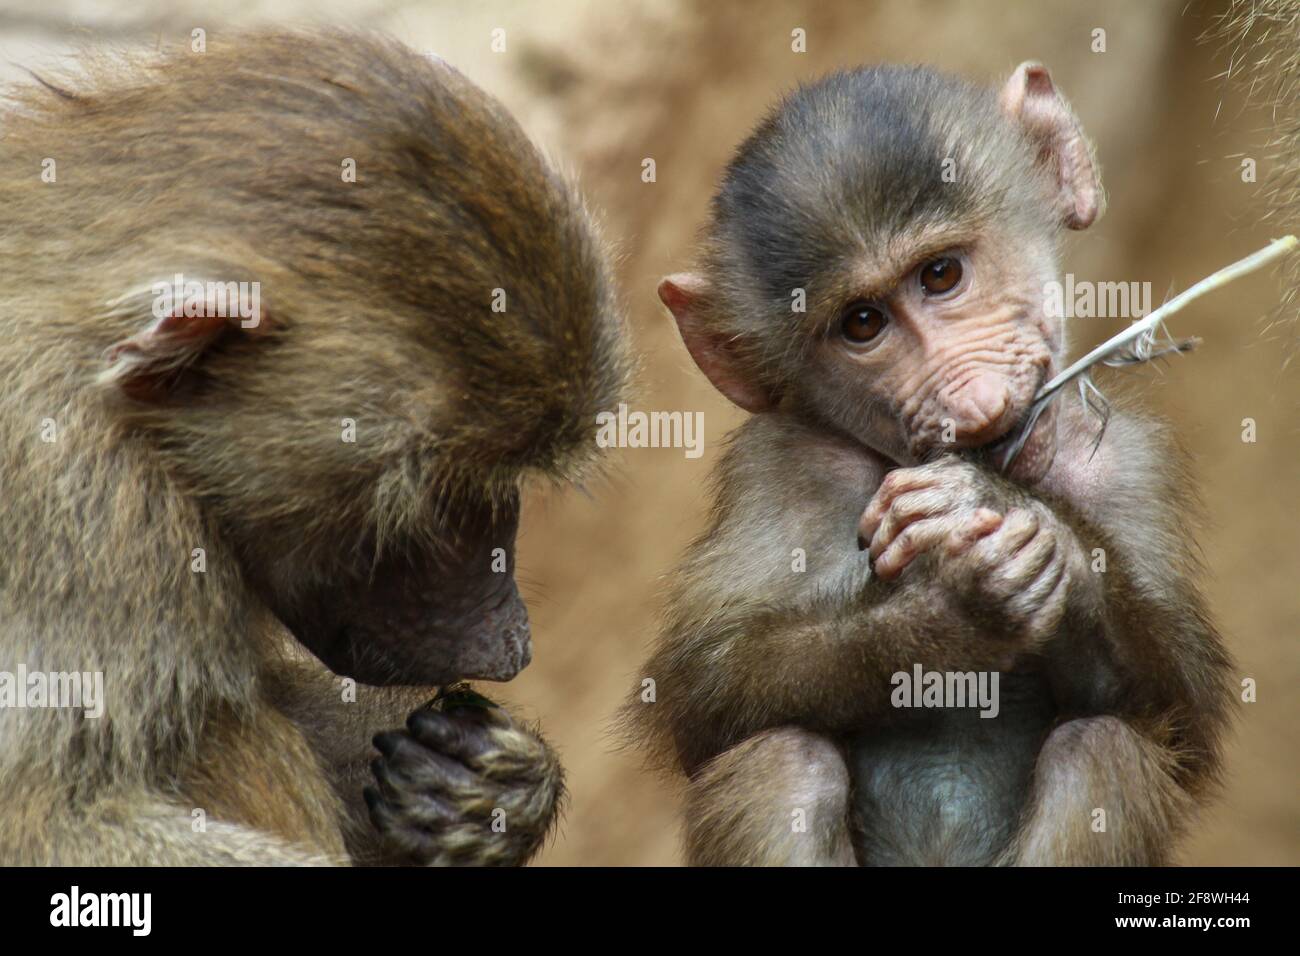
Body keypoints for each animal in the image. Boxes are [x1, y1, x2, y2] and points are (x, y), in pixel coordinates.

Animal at [627, 62, 1234, 866]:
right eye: (862, 324)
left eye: (941, 275)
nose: (971, 403)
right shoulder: (780, 466)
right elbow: (702, 685)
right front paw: (947, 611)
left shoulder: (1128, 462)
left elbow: (1181, 716)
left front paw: (1002, 509)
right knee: (785, 760)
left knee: (1104, 752)